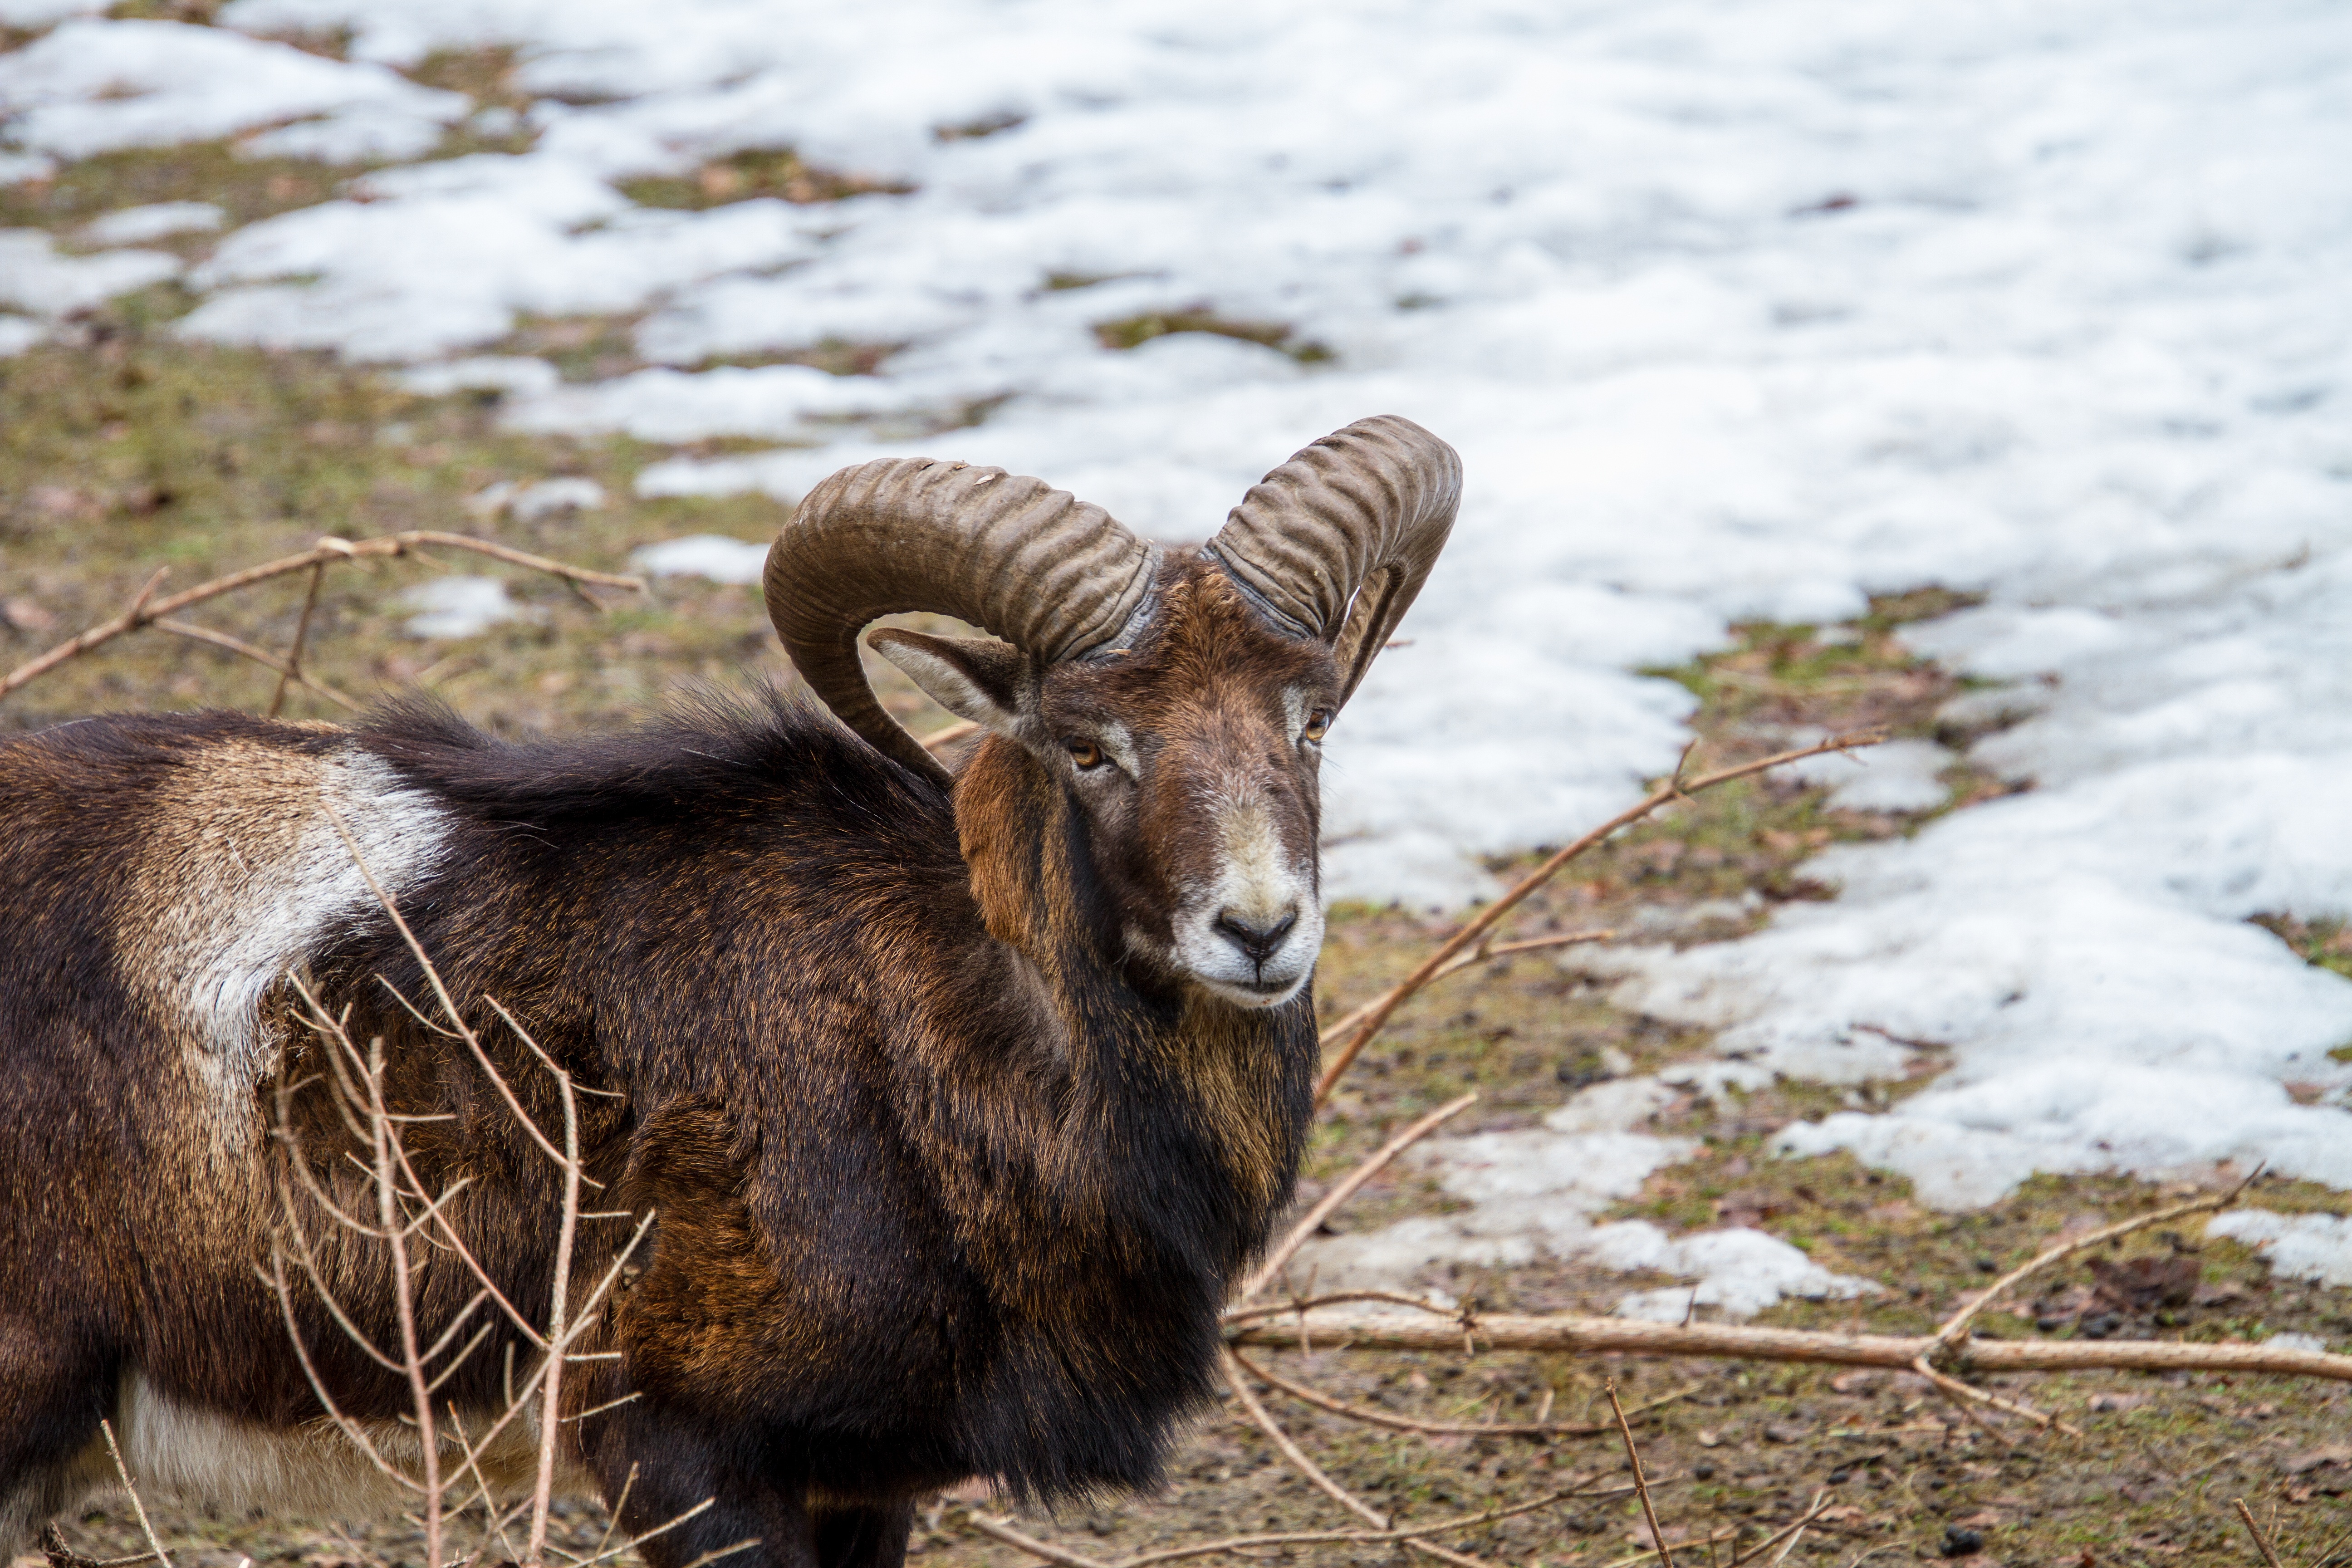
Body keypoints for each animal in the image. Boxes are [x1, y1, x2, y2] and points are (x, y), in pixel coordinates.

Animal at [0, 415, 1460, 1568]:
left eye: (1310, 721)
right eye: (1090, 745)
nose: (1259, 931)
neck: (924, 1041)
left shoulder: (863, 1486)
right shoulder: (683, 1458)